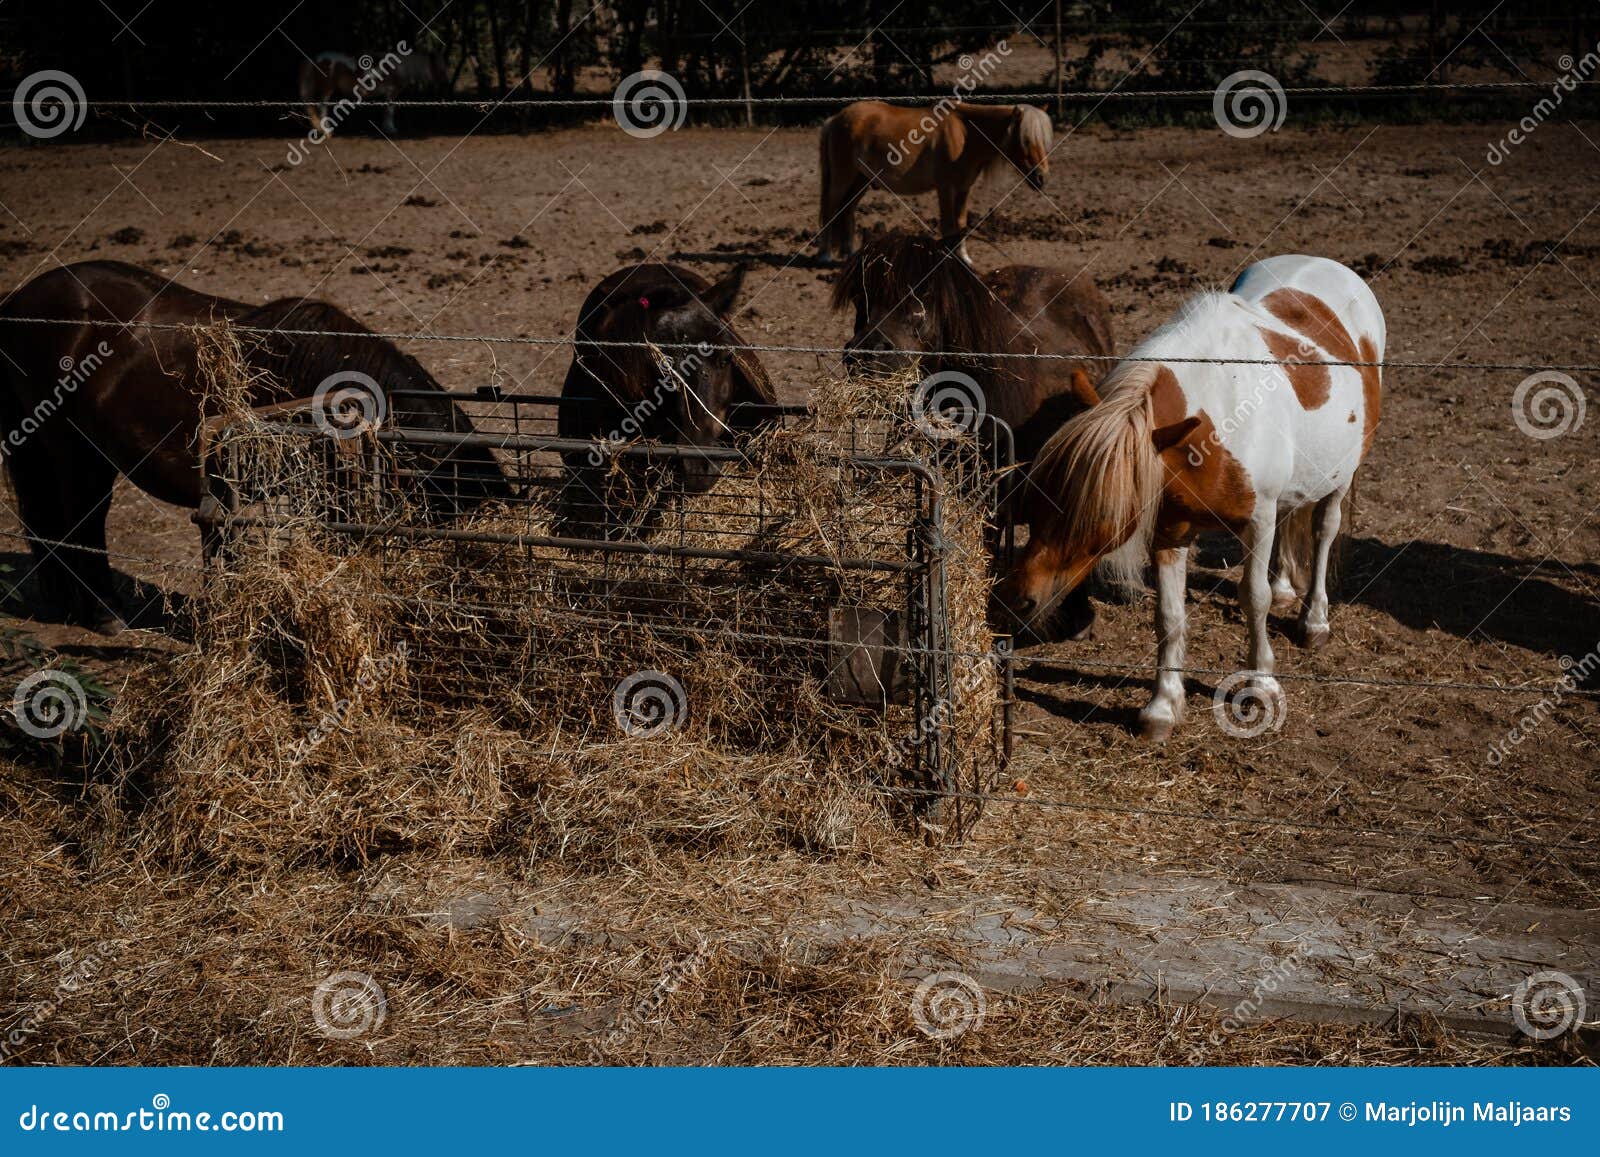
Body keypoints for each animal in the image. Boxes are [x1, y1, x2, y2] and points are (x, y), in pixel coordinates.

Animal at [298, 47, 450, 136]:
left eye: (444, 65)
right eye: (438, 67)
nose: (446, 82)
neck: (401, 68)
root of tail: (315, 58)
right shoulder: (392, 92)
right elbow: (389, 110)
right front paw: (390, 129)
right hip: (327, 89)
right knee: (321, 107)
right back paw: (327, 131)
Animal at [817, 101, 1052, 264]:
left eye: (1043, 140)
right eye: (1025, 140)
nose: (1042, 178)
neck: (964, 135)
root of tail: (835, 119)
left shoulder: (963, 188)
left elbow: (960, 223)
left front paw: (963, 258)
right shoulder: (945, 188)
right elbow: (948, 225)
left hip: (861, 181)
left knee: (847, 210)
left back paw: (849, 253)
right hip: (842, 179)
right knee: (831, 210)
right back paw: (825, 254)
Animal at [997, 255, 1385, 741]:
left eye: (1099, 518)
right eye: (1038, 499)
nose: (1019, 598)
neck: (1216, 422)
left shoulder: (1258, 520)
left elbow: (1252, 597)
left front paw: (1262, 683)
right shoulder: (1170, 531)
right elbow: (1169, 615)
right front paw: (1162, 706)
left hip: (1342, 476)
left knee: (1323, 532)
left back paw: (1314, 621)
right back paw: (1285, 590)